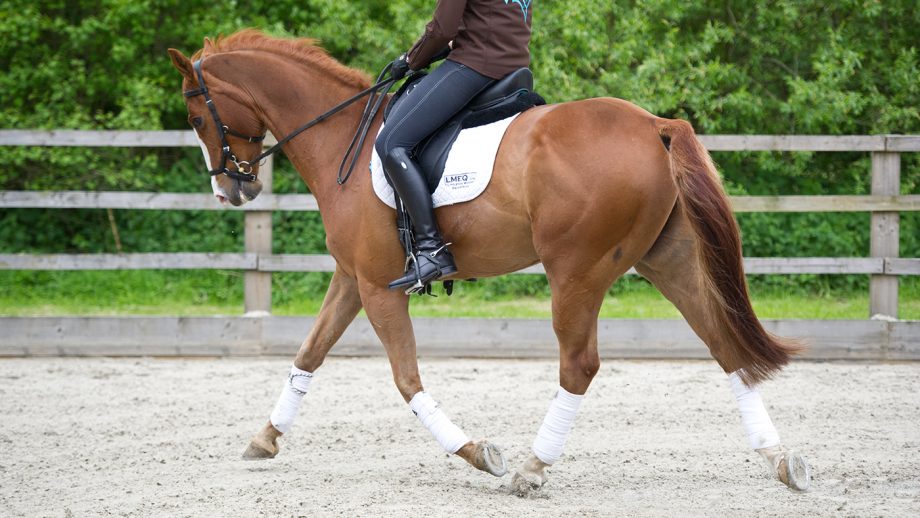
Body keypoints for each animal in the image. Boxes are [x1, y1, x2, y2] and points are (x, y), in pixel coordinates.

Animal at [168, 30, 810, 494]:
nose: (231, 190)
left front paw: (478, 453)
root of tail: (654, 125)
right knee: (724, 345)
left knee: (579, 365)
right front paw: (265, 439)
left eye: (198, 118)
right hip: (666, 260)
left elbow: (406, 379)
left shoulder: (379, 287)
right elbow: (309, 353)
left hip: (576, 272)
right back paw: (781, 461)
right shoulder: (353, 278)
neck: (342, 136)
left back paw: (531, 468)